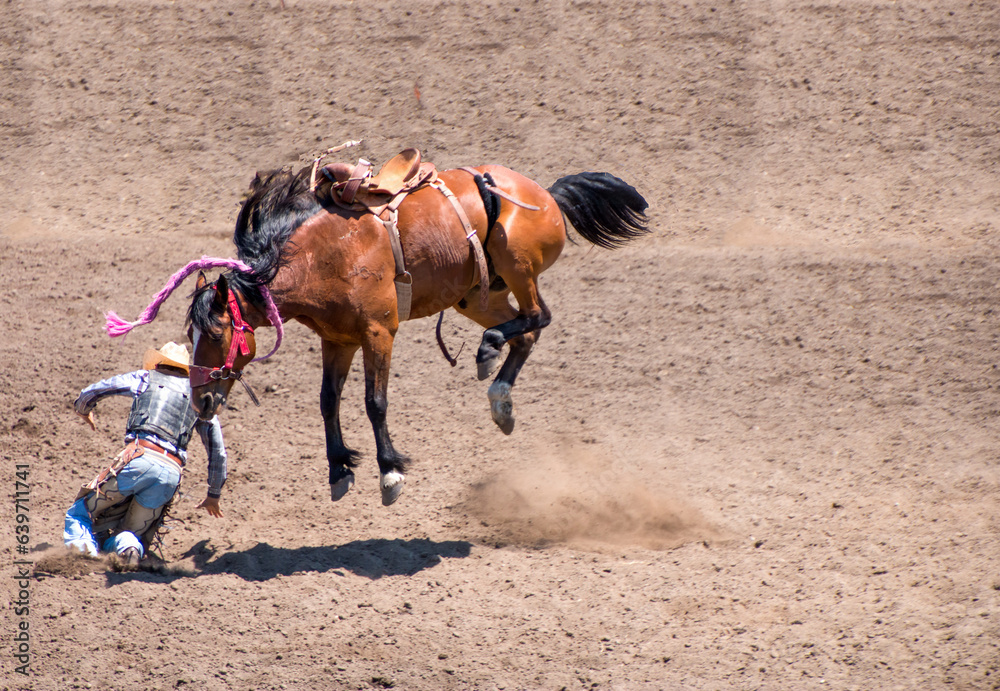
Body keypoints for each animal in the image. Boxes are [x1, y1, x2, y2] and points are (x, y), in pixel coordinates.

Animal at [109, 153, 648, 507]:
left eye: (218, 333)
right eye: (192, 337)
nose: (200, 400)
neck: (326, 255)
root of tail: (546, 194)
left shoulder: (378, 332)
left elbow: (375, 401)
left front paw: (389, 470)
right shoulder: (337, 339)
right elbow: (328, 401)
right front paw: (338, 467)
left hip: (516, 263)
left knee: (538, 317)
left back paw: (488, 352)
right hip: (477, 294)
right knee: (527, 331)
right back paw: (500, 397)